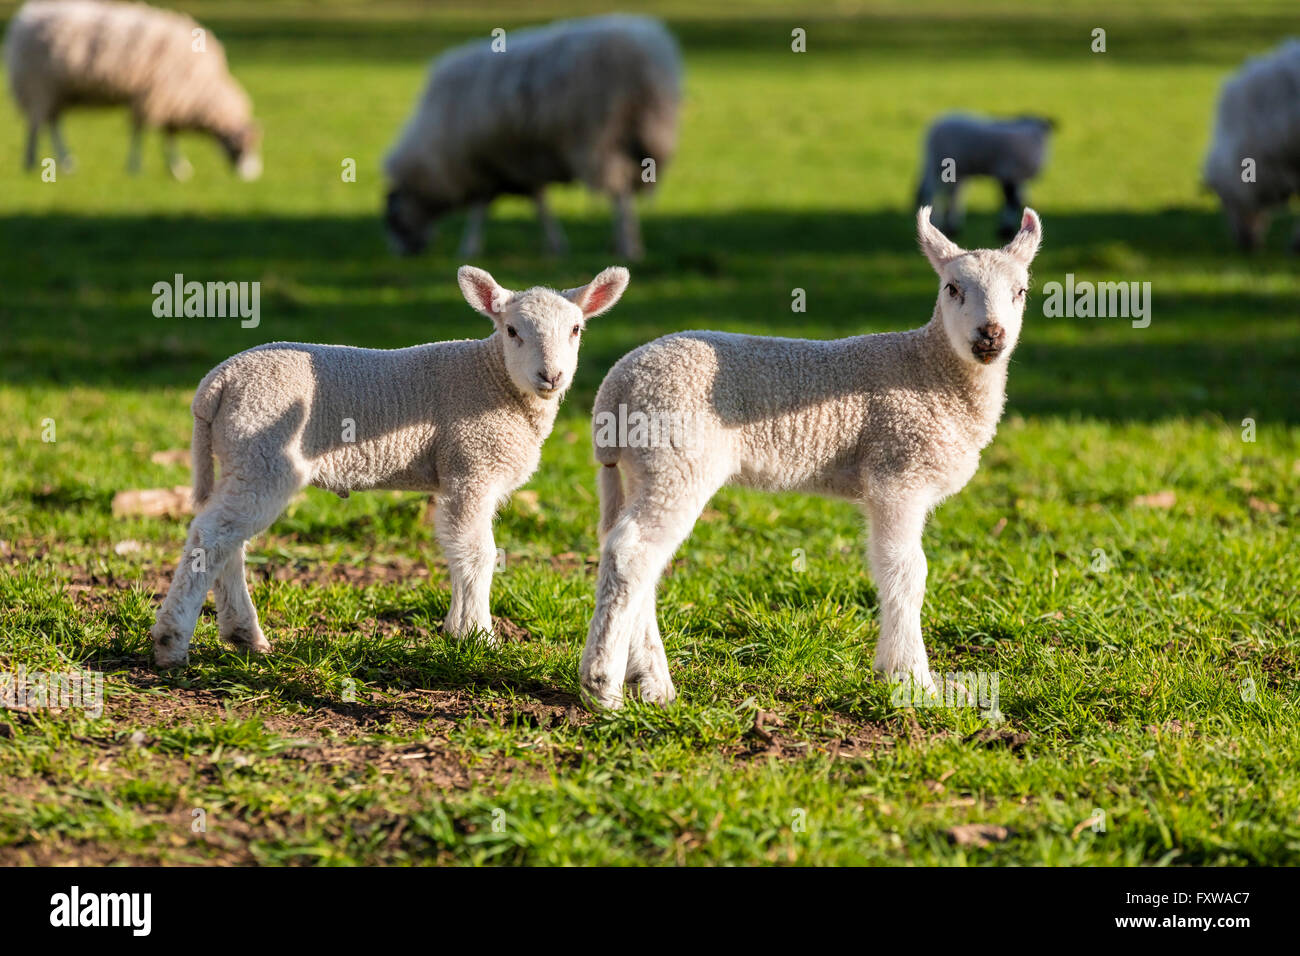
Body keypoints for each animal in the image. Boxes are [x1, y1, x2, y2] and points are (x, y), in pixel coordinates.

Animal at [4, 0, 261, 180]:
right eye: (243, 147)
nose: (253, 177)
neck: (203, 88)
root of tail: (24, 16)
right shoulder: (153, 95)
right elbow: (141, 132)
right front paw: (138, 166)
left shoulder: (169, 101)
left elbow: (169, 135)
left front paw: (177, 168)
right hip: (39, 85)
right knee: (37, 124)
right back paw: (33, 160)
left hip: (55, 91)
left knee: (51, 123)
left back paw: (65, 162)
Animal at [150, 265, 630, 668]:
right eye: (511, 330)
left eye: (576, 329)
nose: (551, 376)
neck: (494, 378)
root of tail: (216, 382)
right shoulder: (472, 466)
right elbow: (479, 552)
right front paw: (480, 637)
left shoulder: (458, 475)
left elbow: (457, 549)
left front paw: (458, 630)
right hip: (263, 450)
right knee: (212, 534)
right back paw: (172, 642)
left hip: (242, 456)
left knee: (228, 538)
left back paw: (243, 634)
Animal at [383, 14, 681, 261]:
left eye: (395, 219)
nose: (403, 253)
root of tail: (648, 53)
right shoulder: (519, 163)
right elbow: (540, 204)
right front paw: (556, 245)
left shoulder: (483, 162)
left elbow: (481, 209)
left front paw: (468, 247)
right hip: (642, 139)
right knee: (626, 192)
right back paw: (628, 242)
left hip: (601, 139)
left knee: (619, 194)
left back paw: (628, 248)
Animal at [579, 207, 1042, 709]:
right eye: (952, 288)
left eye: (1020, 291)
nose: (990, 334)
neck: (930, 370)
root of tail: (615, 387)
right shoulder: (898, 472)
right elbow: (906, 571)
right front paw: (914, 680)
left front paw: (899, 673)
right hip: (675, 454)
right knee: (632, 551)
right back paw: (602, 685)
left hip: (642, 465)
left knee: (633, 553)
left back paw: (653, 683)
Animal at [915, 113, 1052, 240]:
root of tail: (936, 125)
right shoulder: (1009, 174)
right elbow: (1011, 201)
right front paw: (1005, 230)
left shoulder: (1016, 178)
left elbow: (1016, 200)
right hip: (938, 165)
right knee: (932, 191)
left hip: (953, 169)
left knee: (950, 193)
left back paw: (950, 226)